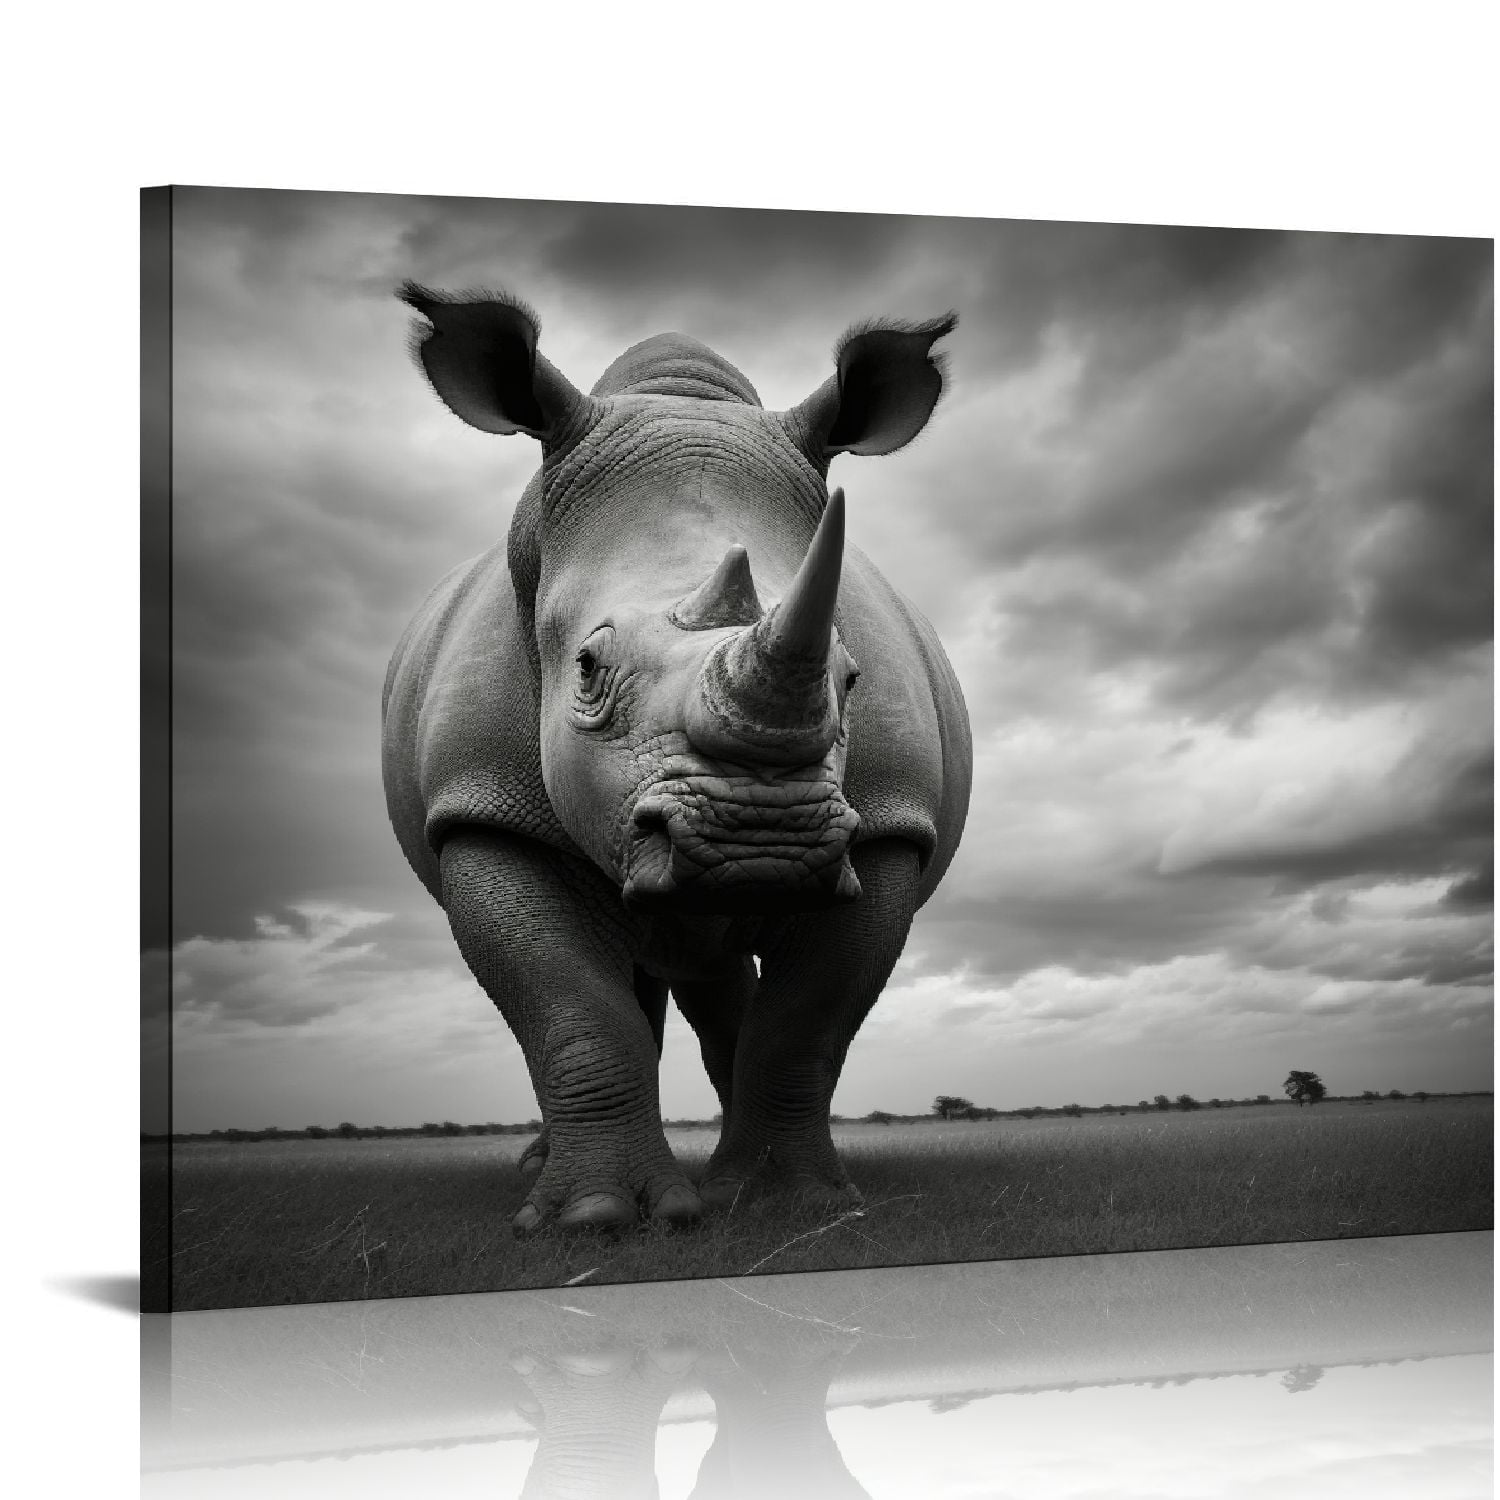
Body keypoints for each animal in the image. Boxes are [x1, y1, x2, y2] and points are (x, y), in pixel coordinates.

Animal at [382, 285, 971, 1233]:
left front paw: (784, 1202)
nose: (758, 841)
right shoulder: (481, 810)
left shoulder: (886, 826)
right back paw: (547, 1169)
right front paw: (596, 1217)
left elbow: (806, 1019)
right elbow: (571, 1008)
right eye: (586, 669)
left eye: (852, 678)